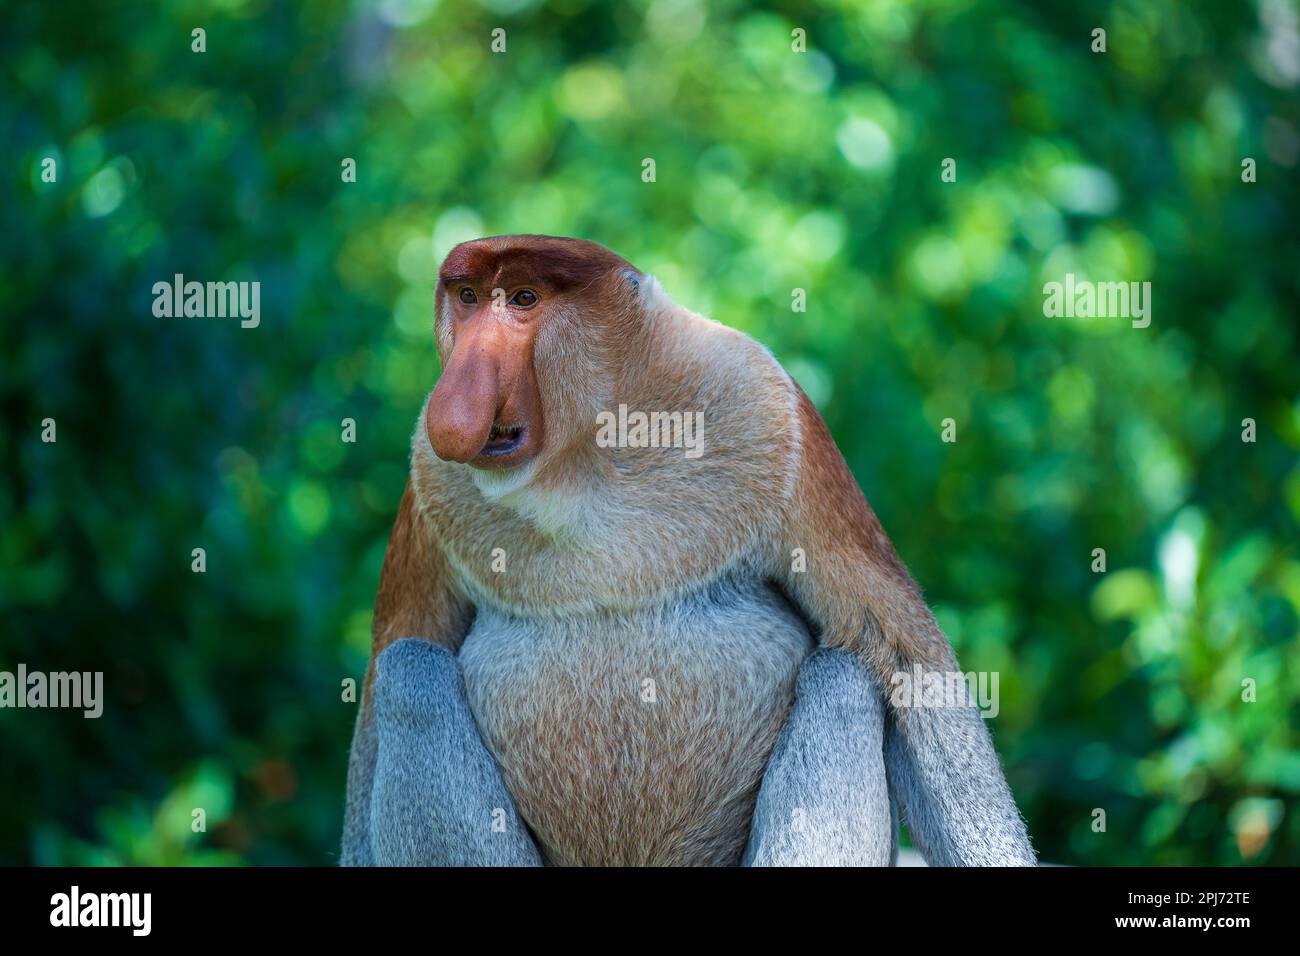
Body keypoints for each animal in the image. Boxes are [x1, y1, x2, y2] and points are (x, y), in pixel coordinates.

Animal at [341, 235, 1036, 866]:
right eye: (466, 298)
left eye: (522, 299)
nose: (458, 394)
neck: (592, 453)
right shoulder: (429, 476)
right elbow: (390, 665)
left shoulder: (771, 411)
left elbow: (901, 653)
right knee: (409, 670)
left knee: (844, 676)